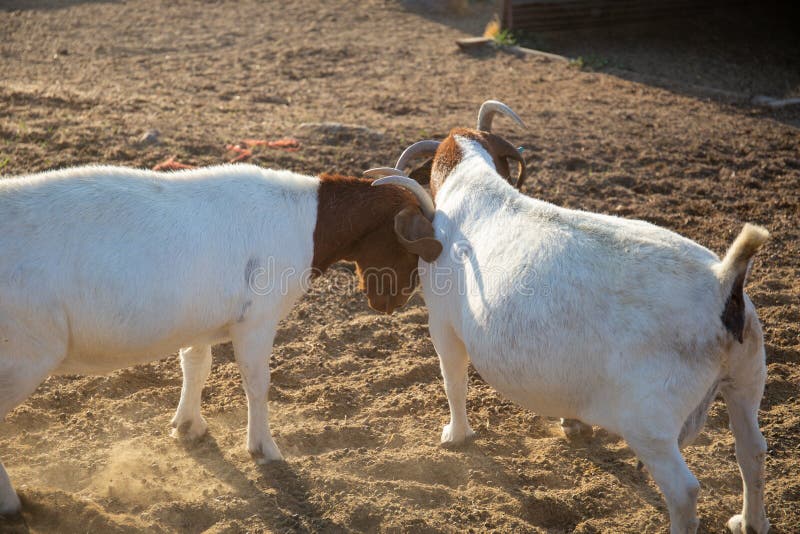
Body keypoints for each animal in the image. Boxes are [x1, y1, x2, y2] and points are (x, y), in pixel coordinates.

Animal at [0, 163, 443, 514]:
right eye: (409, 248)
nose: (392, 303)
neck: (306, 221)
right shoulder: (257, 320)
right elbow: (257, 383)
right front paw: (264, 450)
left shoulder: (199, 323)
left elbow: (197, 365)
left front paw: (188, 426)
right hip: (23, 355)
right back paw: (10, 503)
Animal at [371, 101, 770, 534]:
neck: (475, 184)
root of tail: (723, 282)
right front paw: (573, 424)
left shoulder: (443, 326)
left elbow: (453, 382)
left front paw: (455, 436)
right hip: (747, 377)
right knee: (752, 450)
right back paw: (749, 522)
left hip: (650, 423)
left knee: (684, 491)